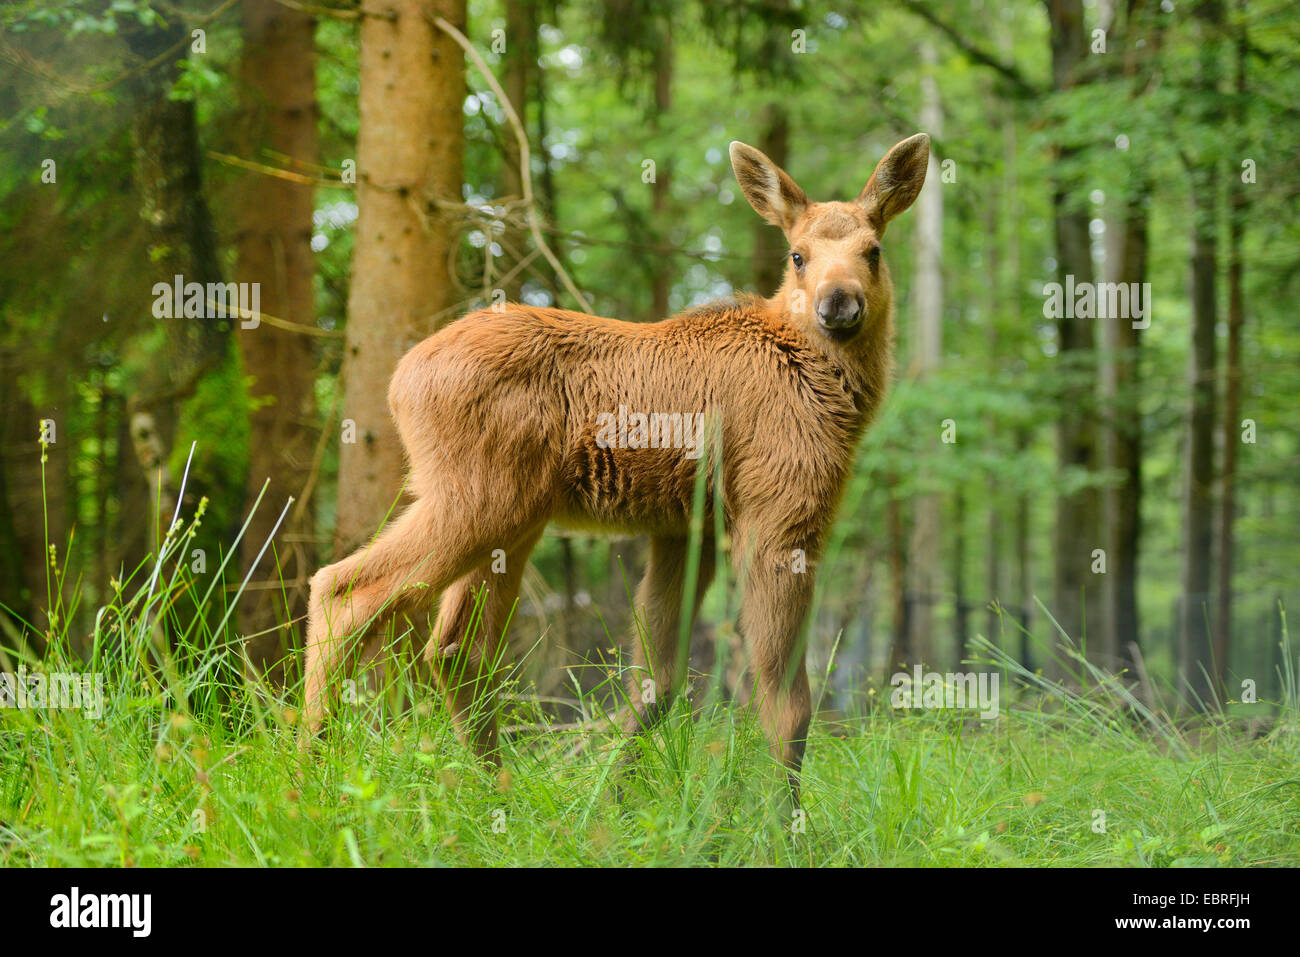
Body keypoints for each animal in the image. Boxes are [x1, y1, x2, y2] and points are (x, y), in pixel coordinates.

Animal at [303, 133, 931, 800]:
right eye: (798, 255)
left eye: (874, 250)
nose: (839, 303)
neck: (828, 388)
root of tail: (401, 381)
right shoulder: (779, 514)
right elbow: (786, 703)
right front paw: (781, 820)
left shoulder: (686, 528)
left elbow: (656, 683)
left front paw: (611, 798)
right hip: (479, 497)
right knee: (347, 590)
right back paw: (310, 764)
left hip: (508, 516)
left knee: (457, 649)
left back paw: (499, 790)